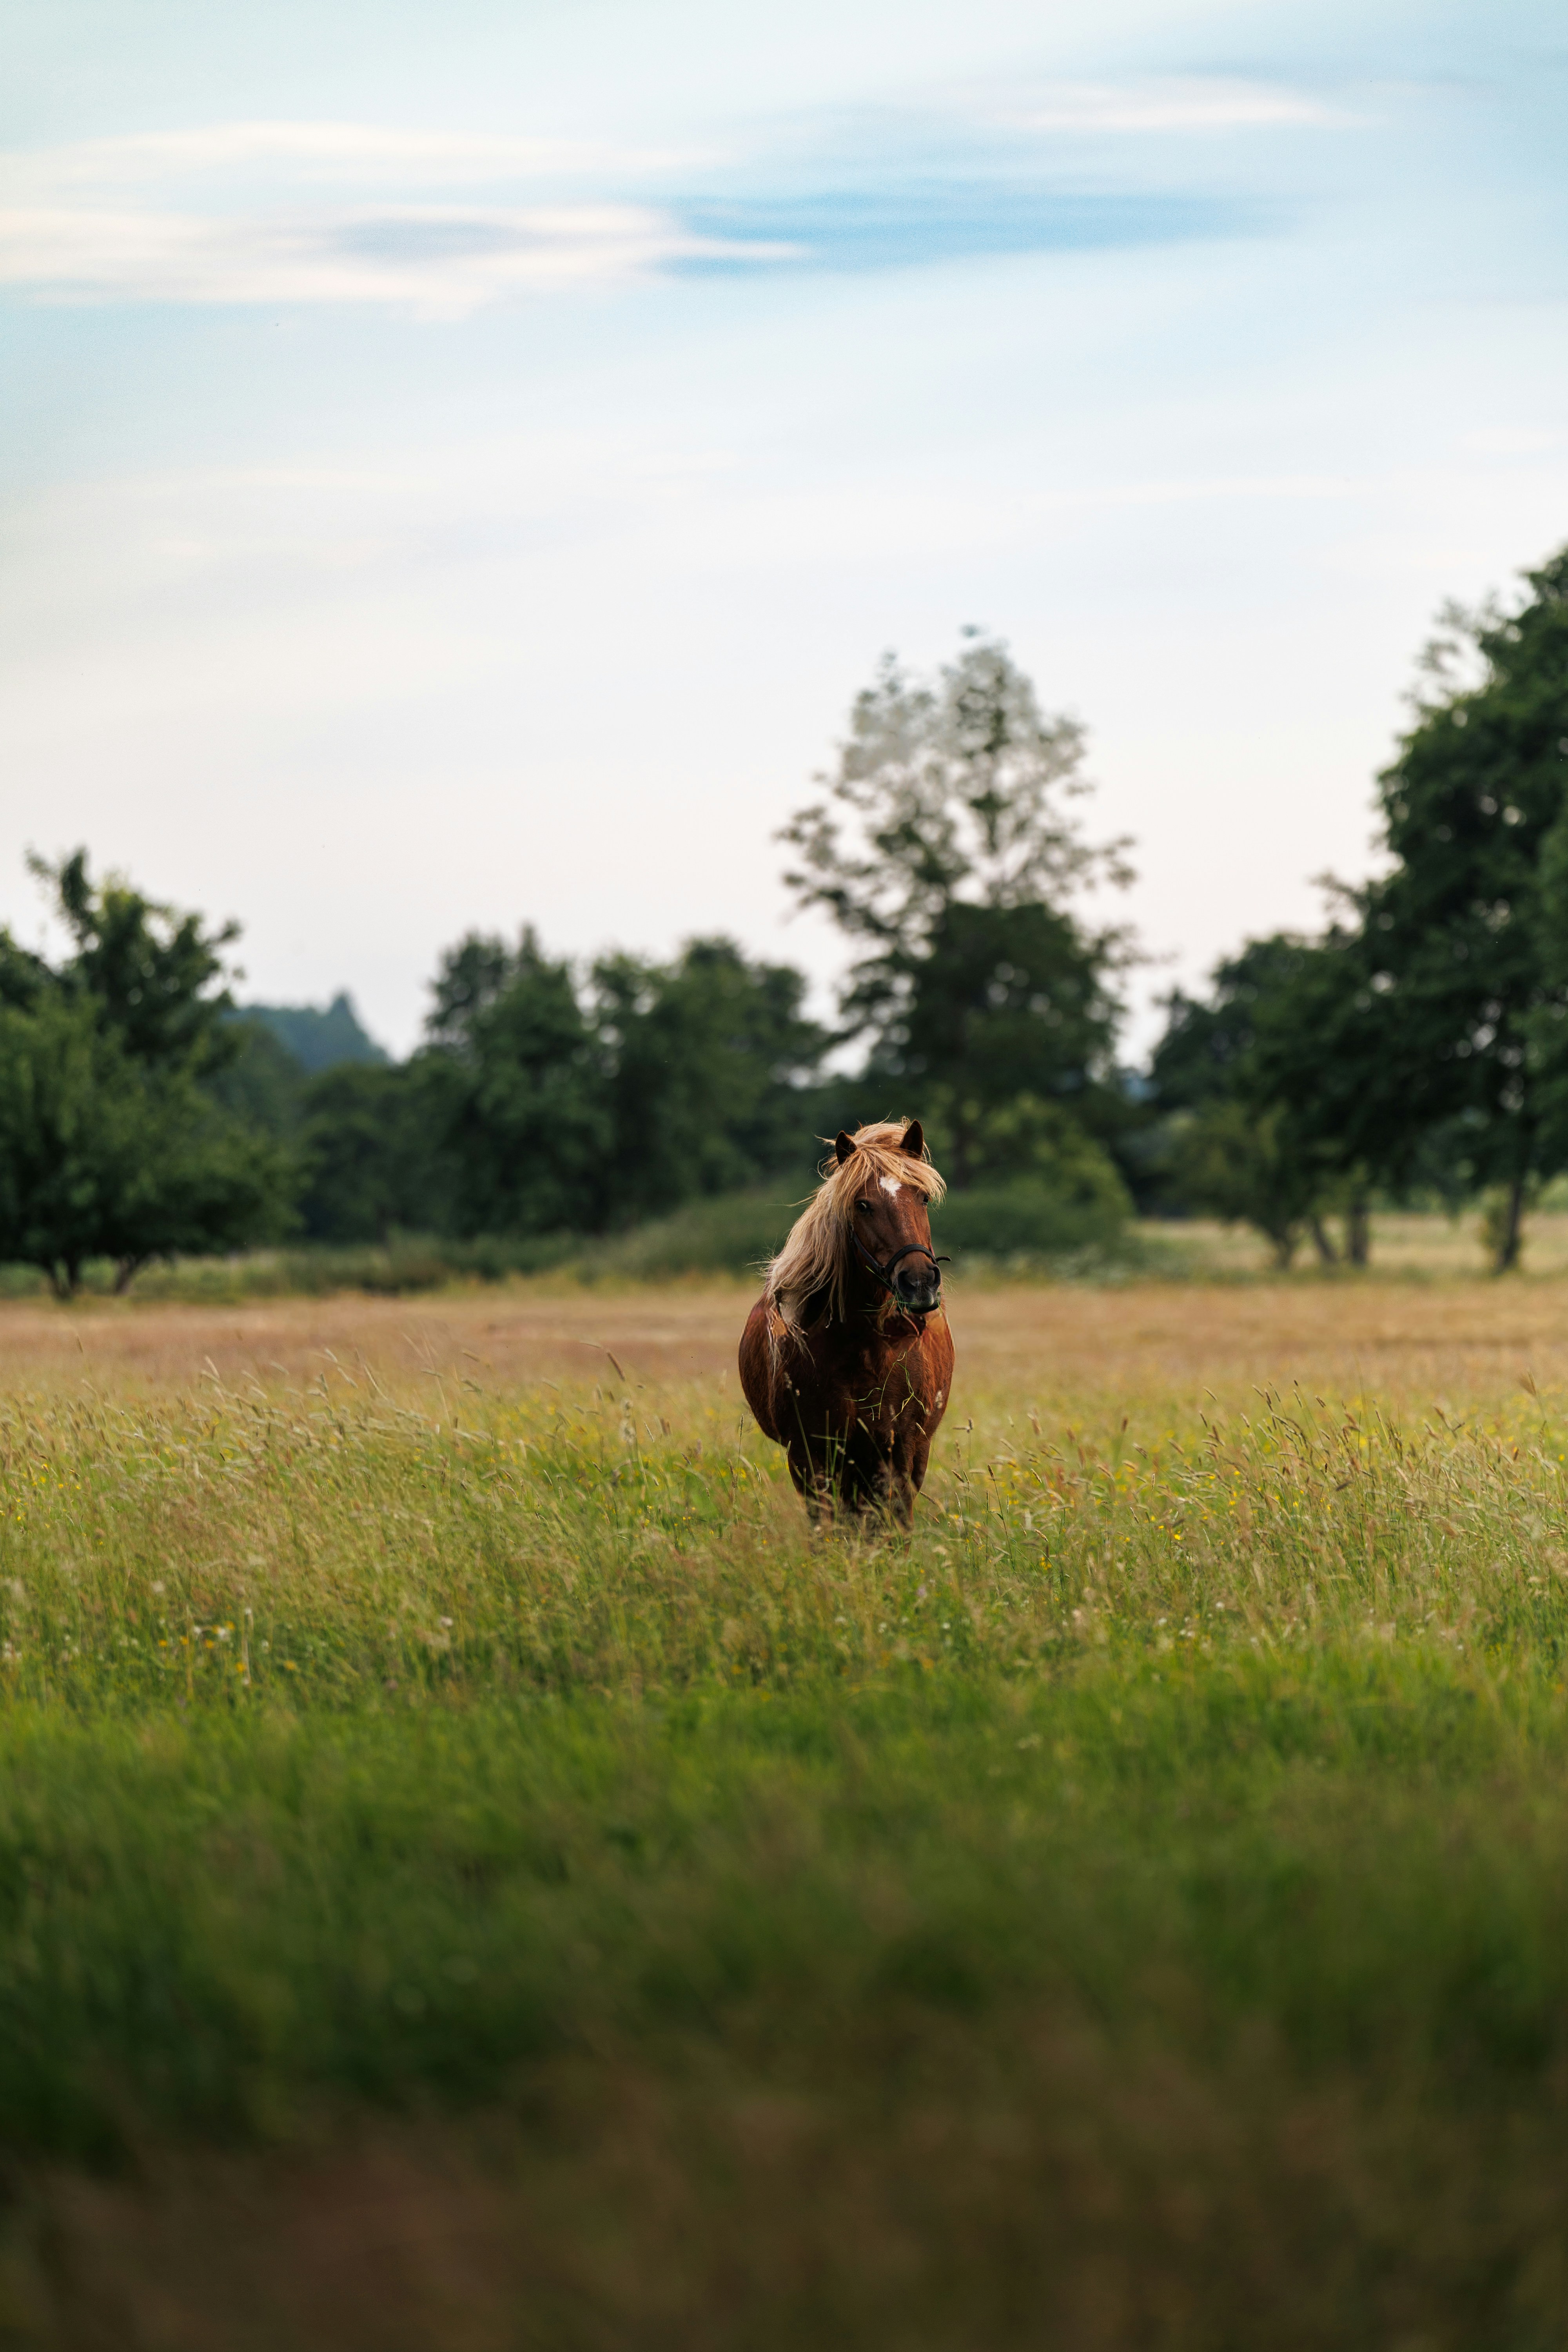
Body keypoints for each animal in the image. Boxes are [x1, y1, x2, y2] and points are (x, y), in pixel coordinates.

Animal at [738, 1119, 954, 1525]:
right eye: (862, 1205)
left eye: (923, 1198)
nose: (919, 1282)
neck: (865, 1350)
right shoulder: (810, 1455)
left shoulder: (903, 1448)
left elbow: (895, 1521)